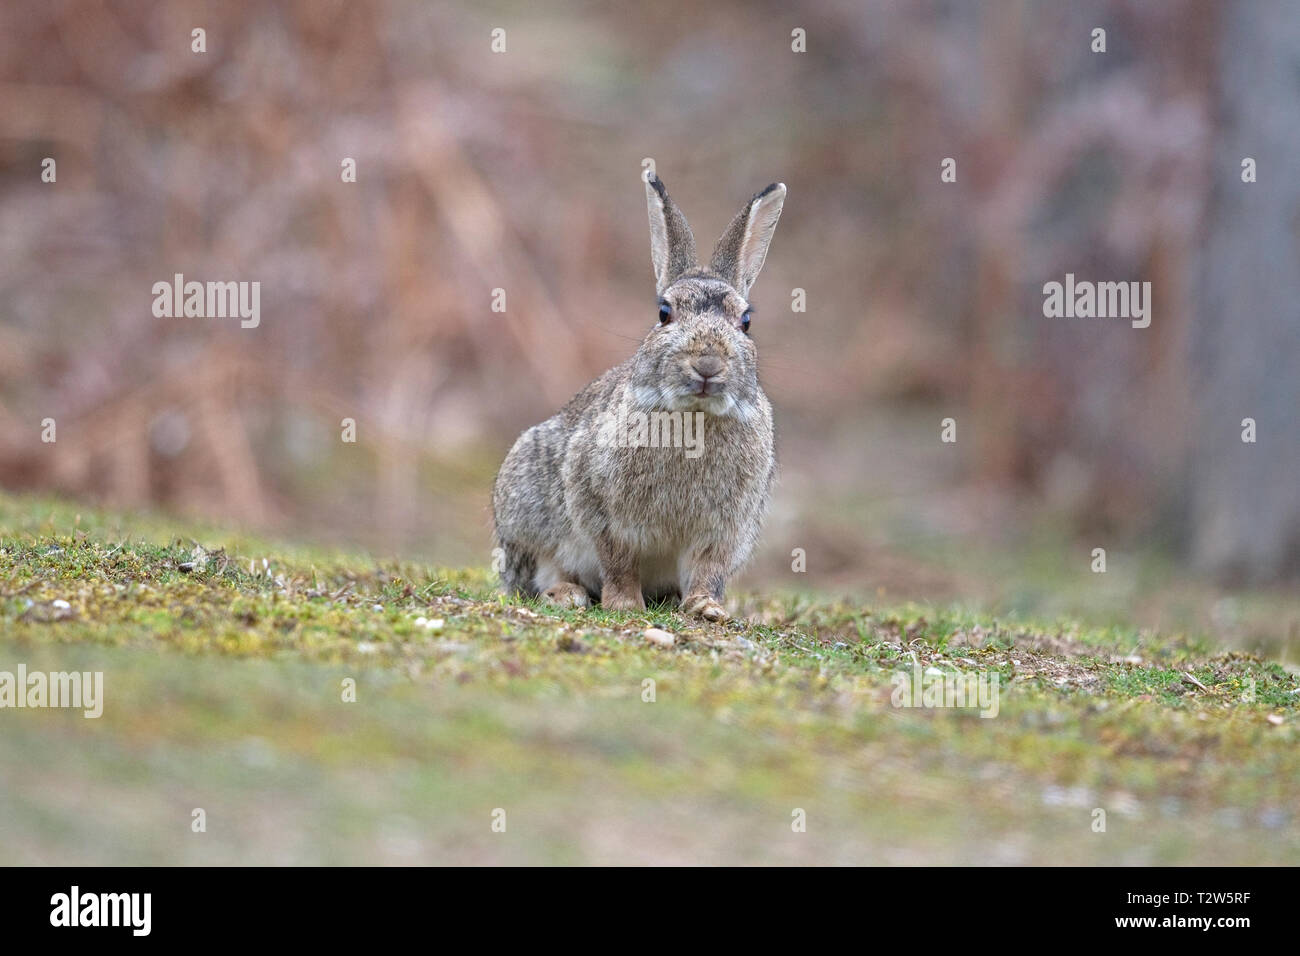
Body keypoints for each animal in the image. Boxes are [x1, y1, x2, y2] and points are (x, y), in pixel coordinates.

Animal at [492, 171, 786, 621]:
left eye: (746, 322)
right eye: (664, 313)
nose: (707, 364)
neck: (694, 417)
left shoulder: (725, 530)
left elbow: (708, 569)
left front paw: (707, 608)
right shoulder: (604, 514)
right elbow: (618, 562)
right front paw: (626, 605)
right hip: (526, 516)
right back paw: (566, 594)